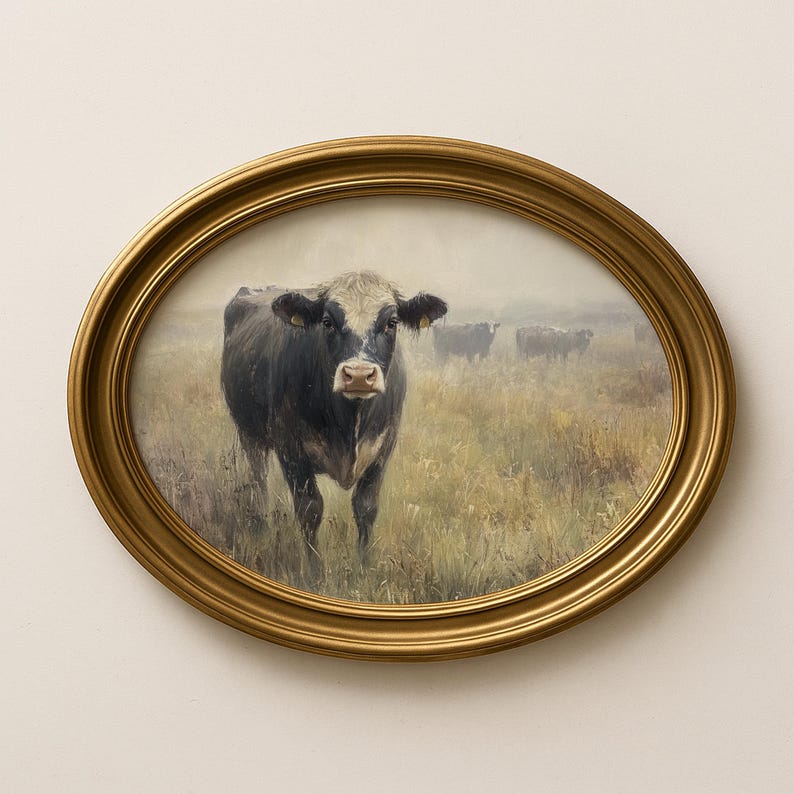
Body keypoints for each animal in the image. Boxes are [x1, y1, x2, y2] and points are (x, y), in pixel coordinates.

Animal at [221, 271, 447, 563]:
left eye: (392, 322)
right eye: (327, 322)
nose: (359, 375)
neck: (349, 422)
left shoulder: (383, 448)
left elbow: (366, 508)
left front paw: (364, 566)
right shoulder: (291, 451)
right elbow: (310, 511)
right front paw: (315, 570)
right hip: (249, 432)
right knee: (258, 479)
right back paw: (260, 527)